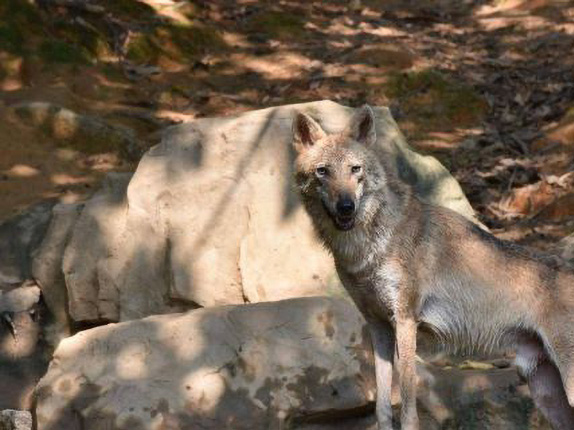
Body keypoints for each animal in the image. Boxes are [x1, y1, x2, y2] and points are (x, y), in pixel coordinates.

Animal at [294, 105, 574, 430]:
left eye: (355, 170)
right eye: (322, 171)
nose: (346, 206)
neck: (367, 249)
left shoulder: (405, 321)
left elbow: (408, 408)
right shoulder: (377, 326)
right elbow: (382, 406)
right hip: (547, 396)